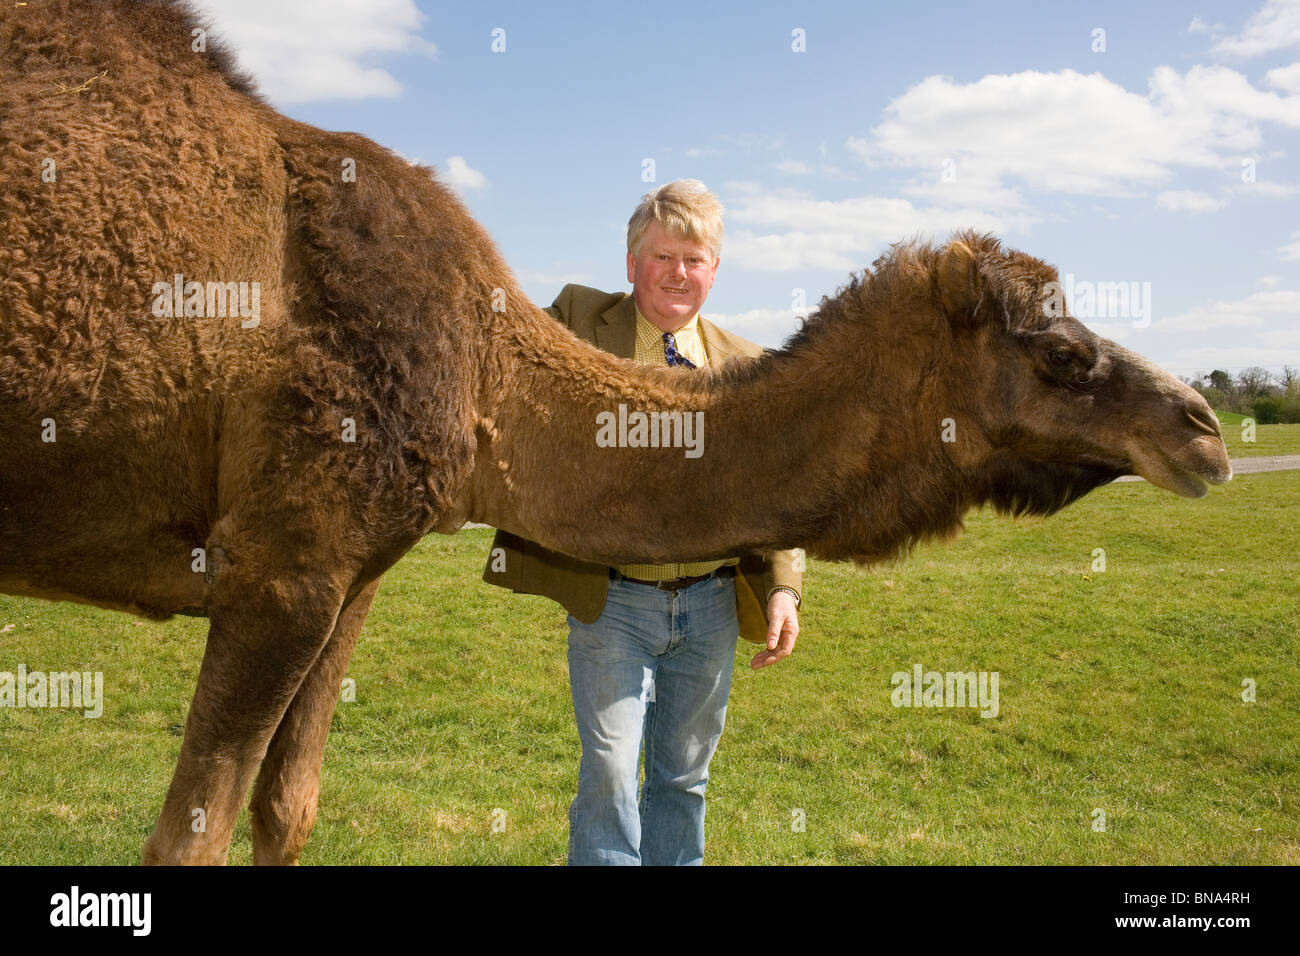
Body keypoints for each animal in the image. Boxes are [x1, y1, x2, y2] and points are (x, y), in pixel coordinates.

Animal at [0, 0, 1230, 865]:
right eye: (1059, 354)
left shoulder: (343, 575)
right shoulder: (281, 570)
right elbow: (188, 838)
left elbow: (286, 810)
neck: (484, 370)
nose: (1206, 429)